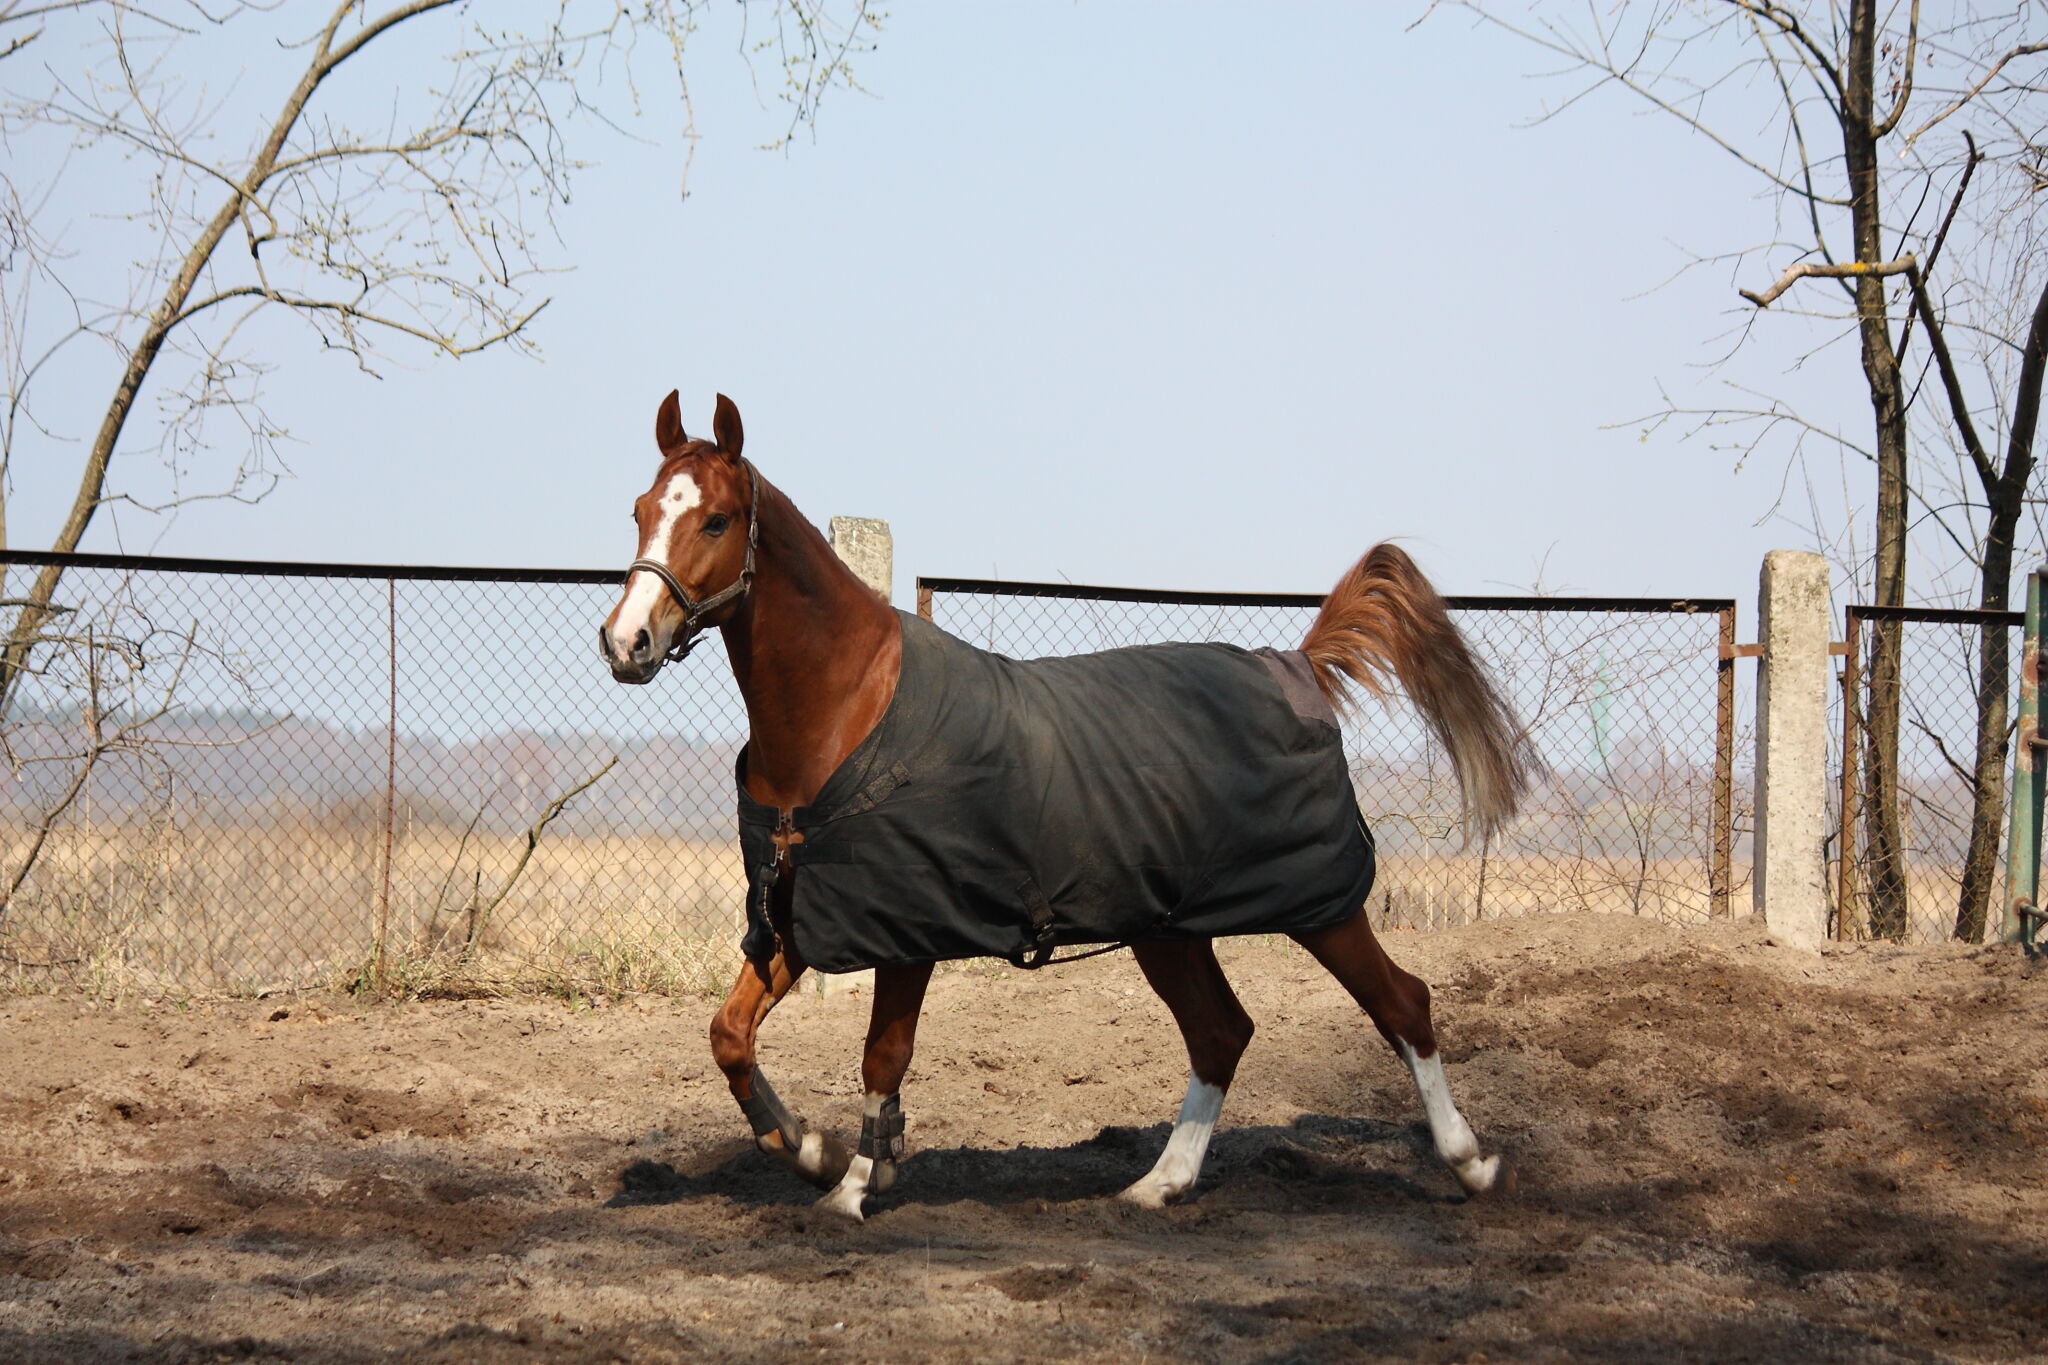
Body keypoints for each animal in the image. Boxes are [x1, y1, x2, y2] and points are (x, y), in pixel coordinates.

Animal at [599, 390, 1535, 1221]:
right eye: (642, 508)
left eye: (716, 519)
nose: (625, 642)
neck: (843, 710)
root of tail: (1297, 663)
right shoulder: (806, 910)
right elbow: (729, 1034)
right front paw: (812, 1148)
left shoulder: (906, 930)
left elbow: (882, 1056)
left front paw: (855, 1185)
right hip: (1171, 928)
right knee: (1222, 1032)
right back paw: (1158, 1185)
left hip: (1320, 908)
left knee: (1402, 1004)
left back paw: (1473, 1164)